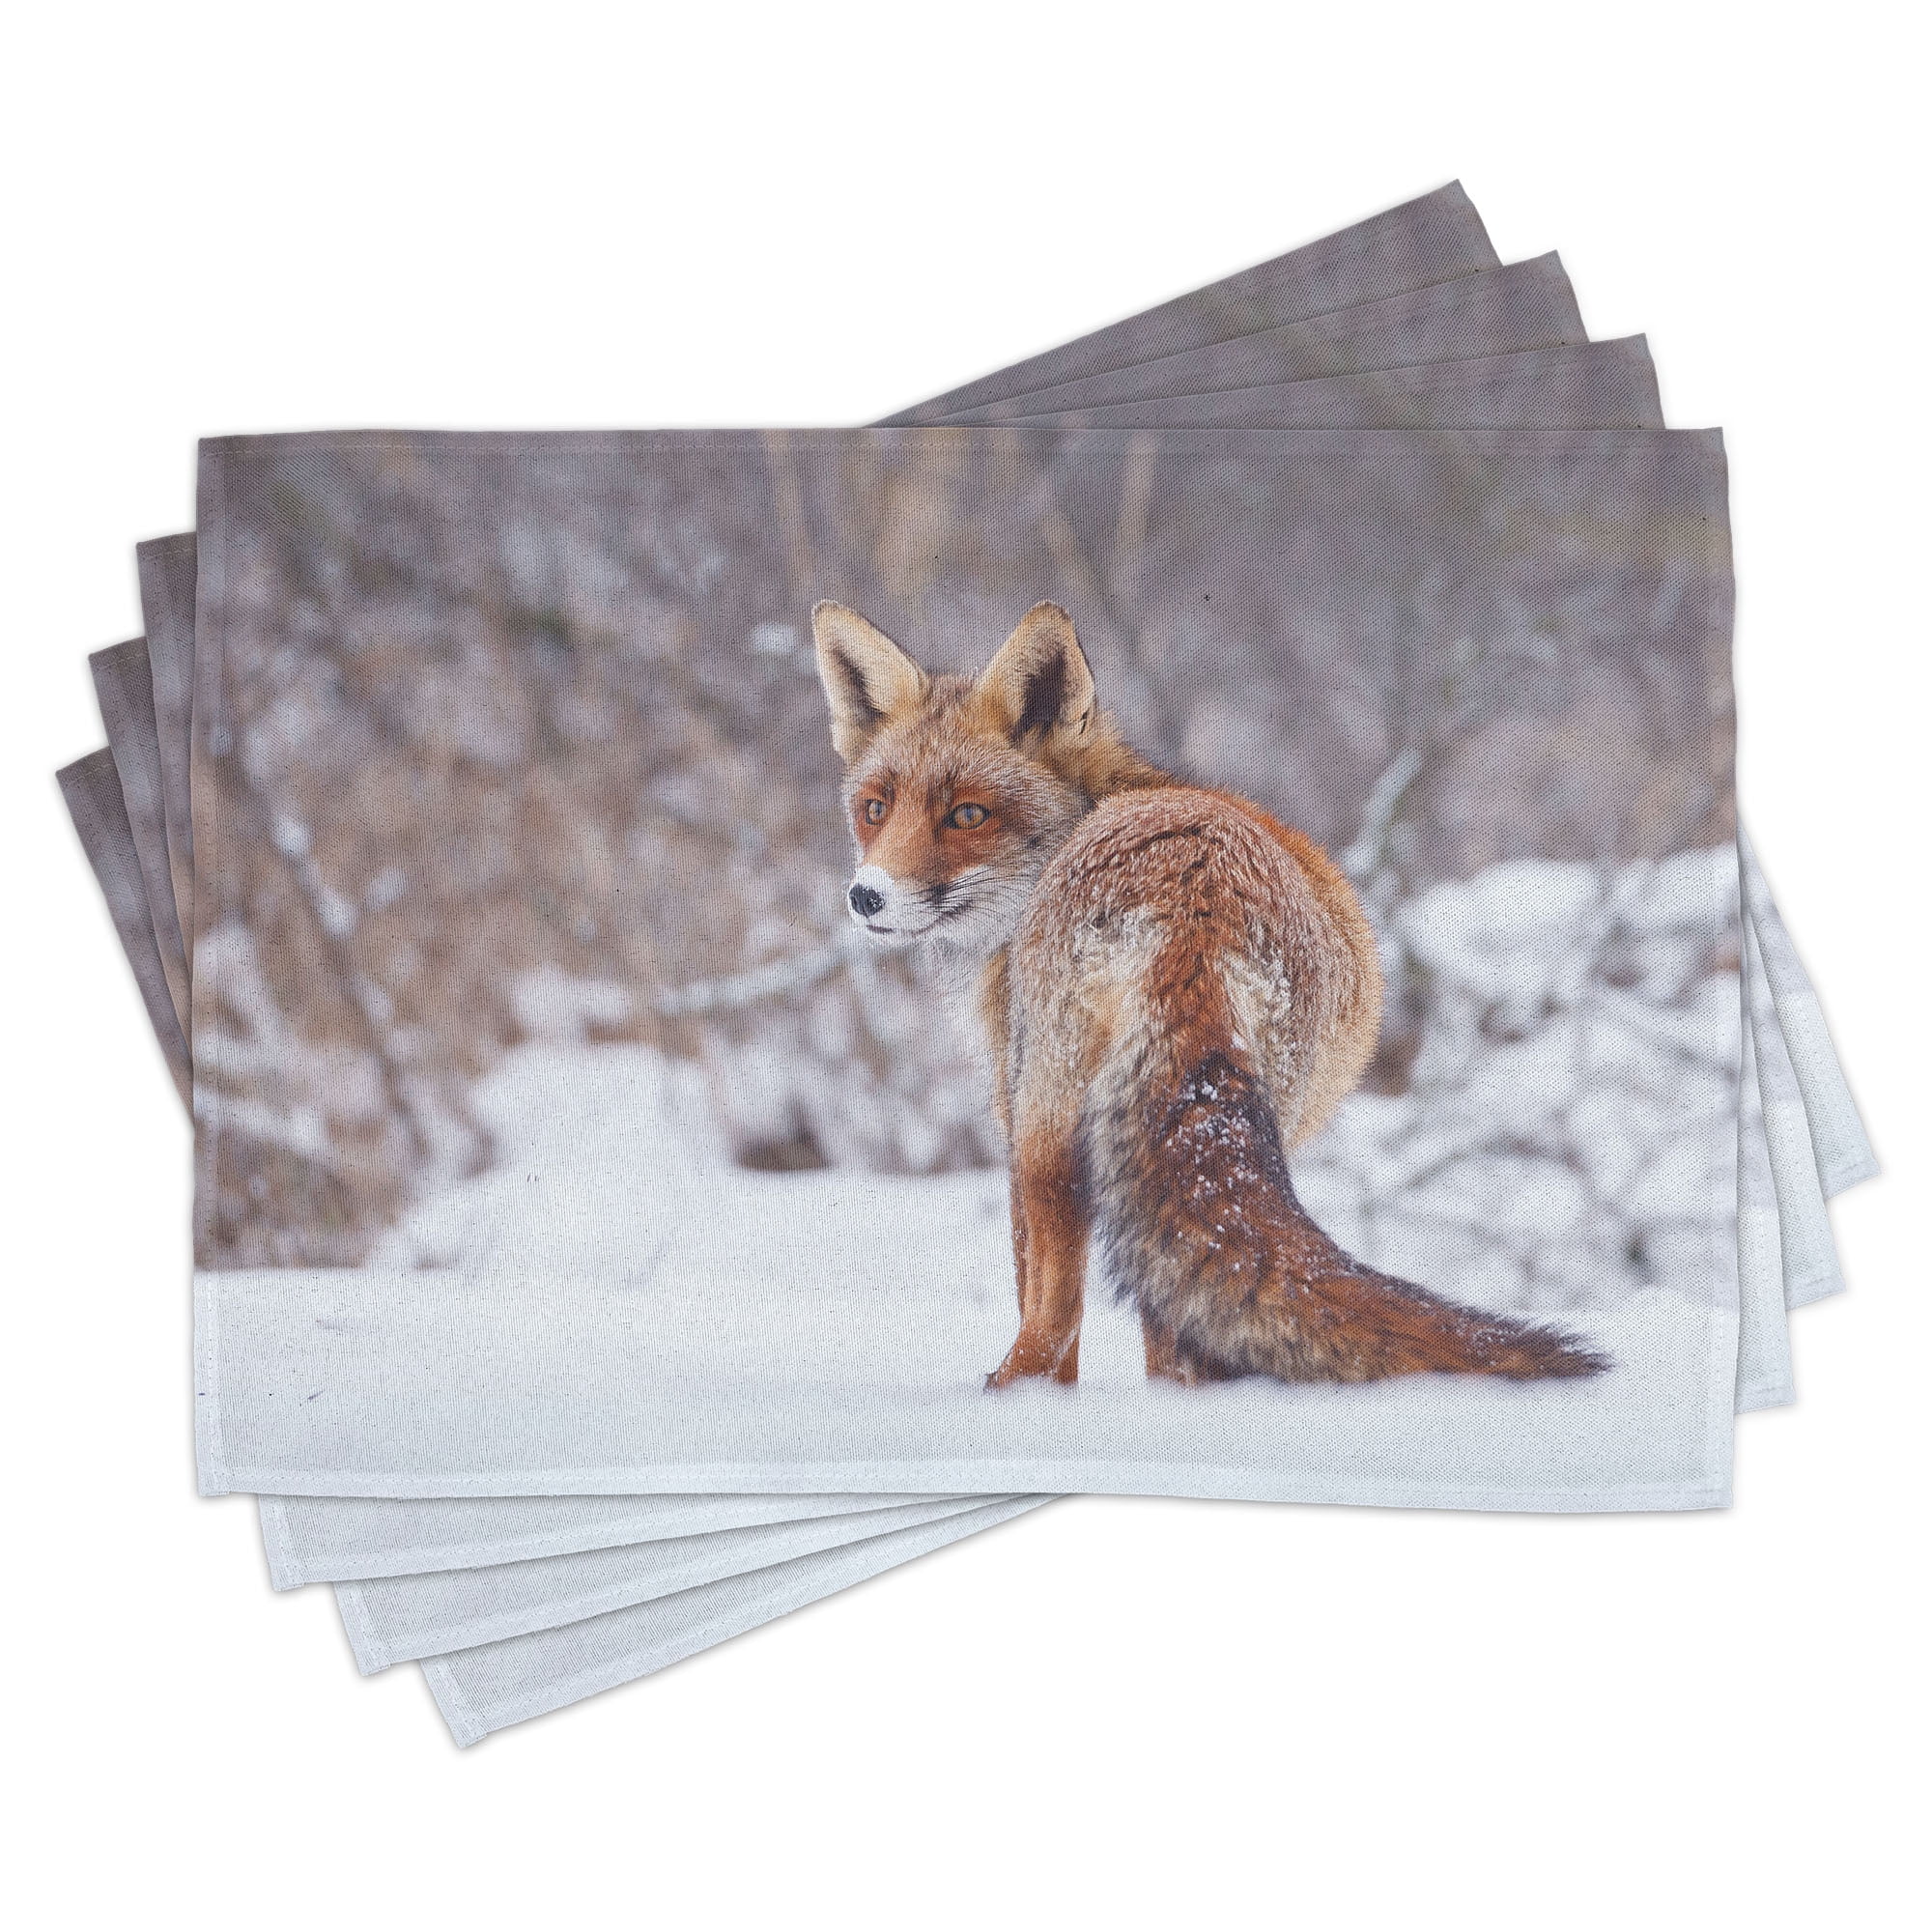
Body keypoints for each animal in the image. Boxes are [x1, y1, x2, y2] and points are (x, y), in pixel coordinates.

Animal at [810, 598, 1607, 1390]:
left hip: (1052, 1131)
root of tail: (1197, 895)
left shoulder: (1014, 1111)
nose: (867, 896)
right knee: (1177, 1324)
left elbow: (1039, 1297)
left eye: (968, 815)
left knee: (1055, 1319)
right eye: (876, 808)